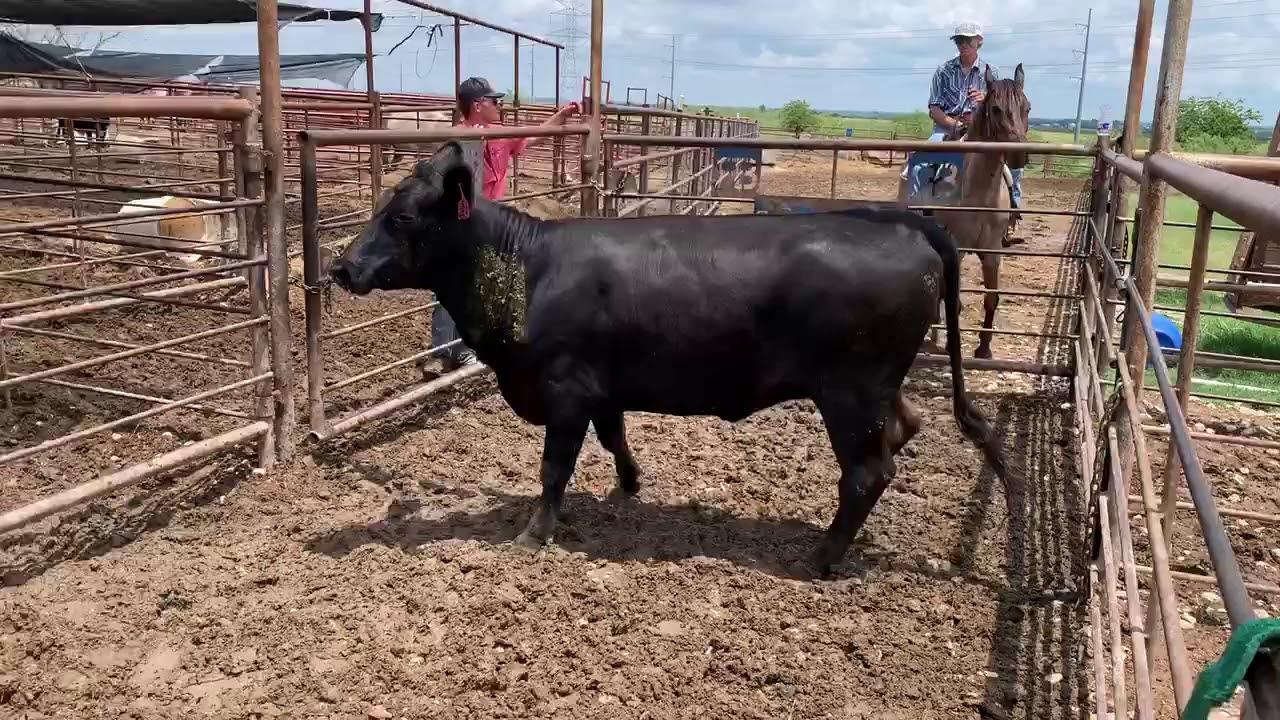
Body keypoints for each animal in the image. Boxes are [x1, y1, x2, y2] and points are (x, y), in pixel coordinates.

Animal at [327, 141, 1014, 576]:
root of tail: (901, 223)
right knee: (905, 429)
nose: (340, 266)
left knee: (869, 471)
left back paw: (820, 557)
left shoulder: (565, 388)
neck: (530, 265)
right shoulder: (601, 386)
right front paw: (631, 485)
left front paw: (534, 534)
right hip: (878, 390)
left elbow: (554, 468)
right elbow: (614, 438)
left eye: (403, 217)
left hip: (852, 393)